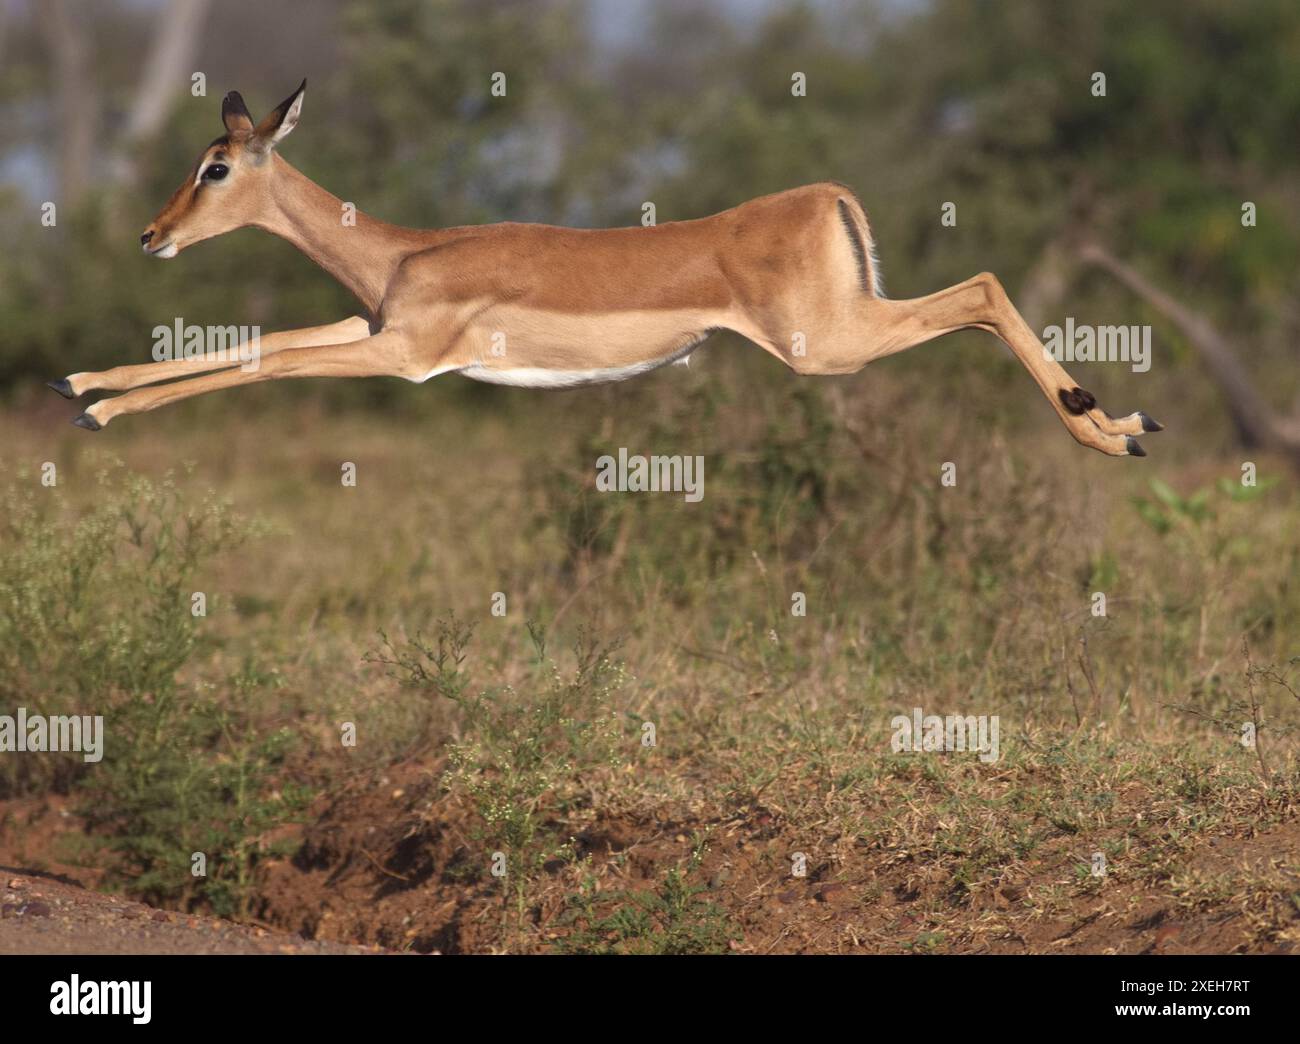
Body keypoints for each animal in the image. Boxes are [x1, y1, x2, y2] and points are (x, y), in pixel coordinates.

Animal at [50, 81, 1162, 455]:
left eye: (215, 165)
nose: (150, 236)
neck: (404, 251)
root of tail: (826, 197)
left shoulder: (405, 355)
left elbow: (268, 362)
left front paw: (99, 412)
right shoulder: (372, 325)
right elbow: (259, 343)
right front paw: (83, 385)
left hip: (829, 346)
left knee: (981, 288)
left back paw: (1110, 432)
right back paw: (1119, 423)